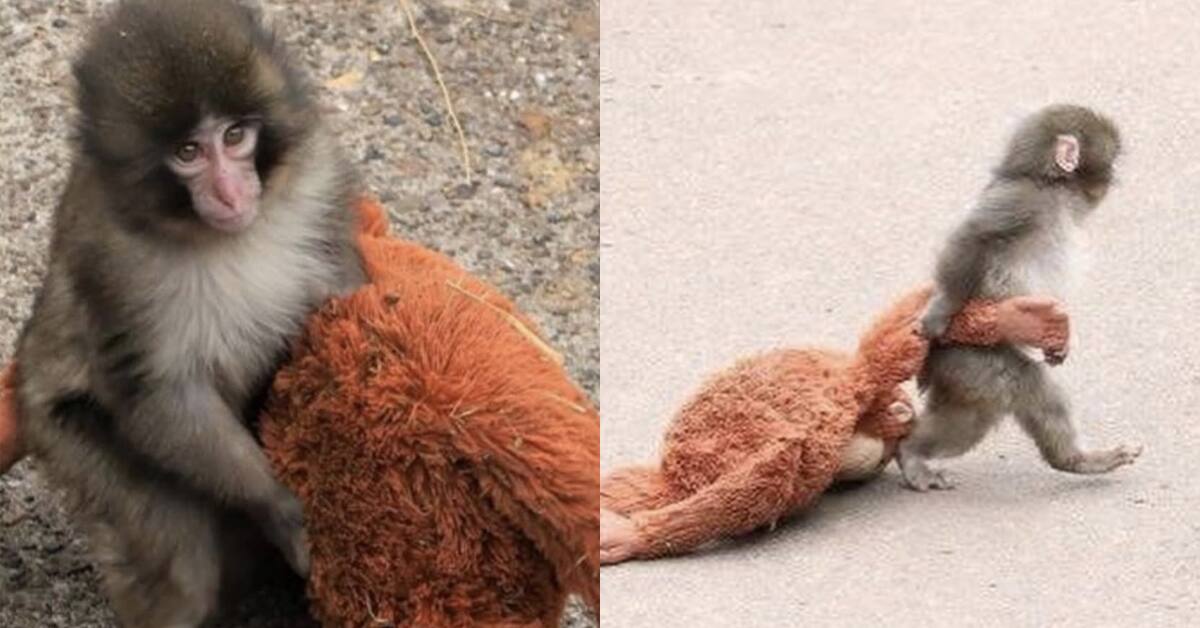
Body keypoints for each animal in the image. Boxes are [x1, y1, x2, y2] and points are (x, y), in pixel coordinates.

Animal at [13, 1, 366, 625]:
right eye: (188, 153)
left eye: (235, 135)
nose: (230, 193)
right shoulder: (112, 261)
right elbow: (159, 394)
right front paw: (280, 506)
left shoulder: (317, 176)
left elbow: (340, 290)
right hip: (67, 435)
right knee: (182, 568)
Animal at [897, 104, 1141, 492]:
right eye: (1112, 159)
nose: (1114, 177)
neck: (1050, 187)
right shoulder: (1021, 201)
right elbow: (973, 236)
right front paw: (941, 309)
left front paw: (1059, 344)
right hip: (971, 358)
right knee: (1022, 389)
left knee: (978, 416)